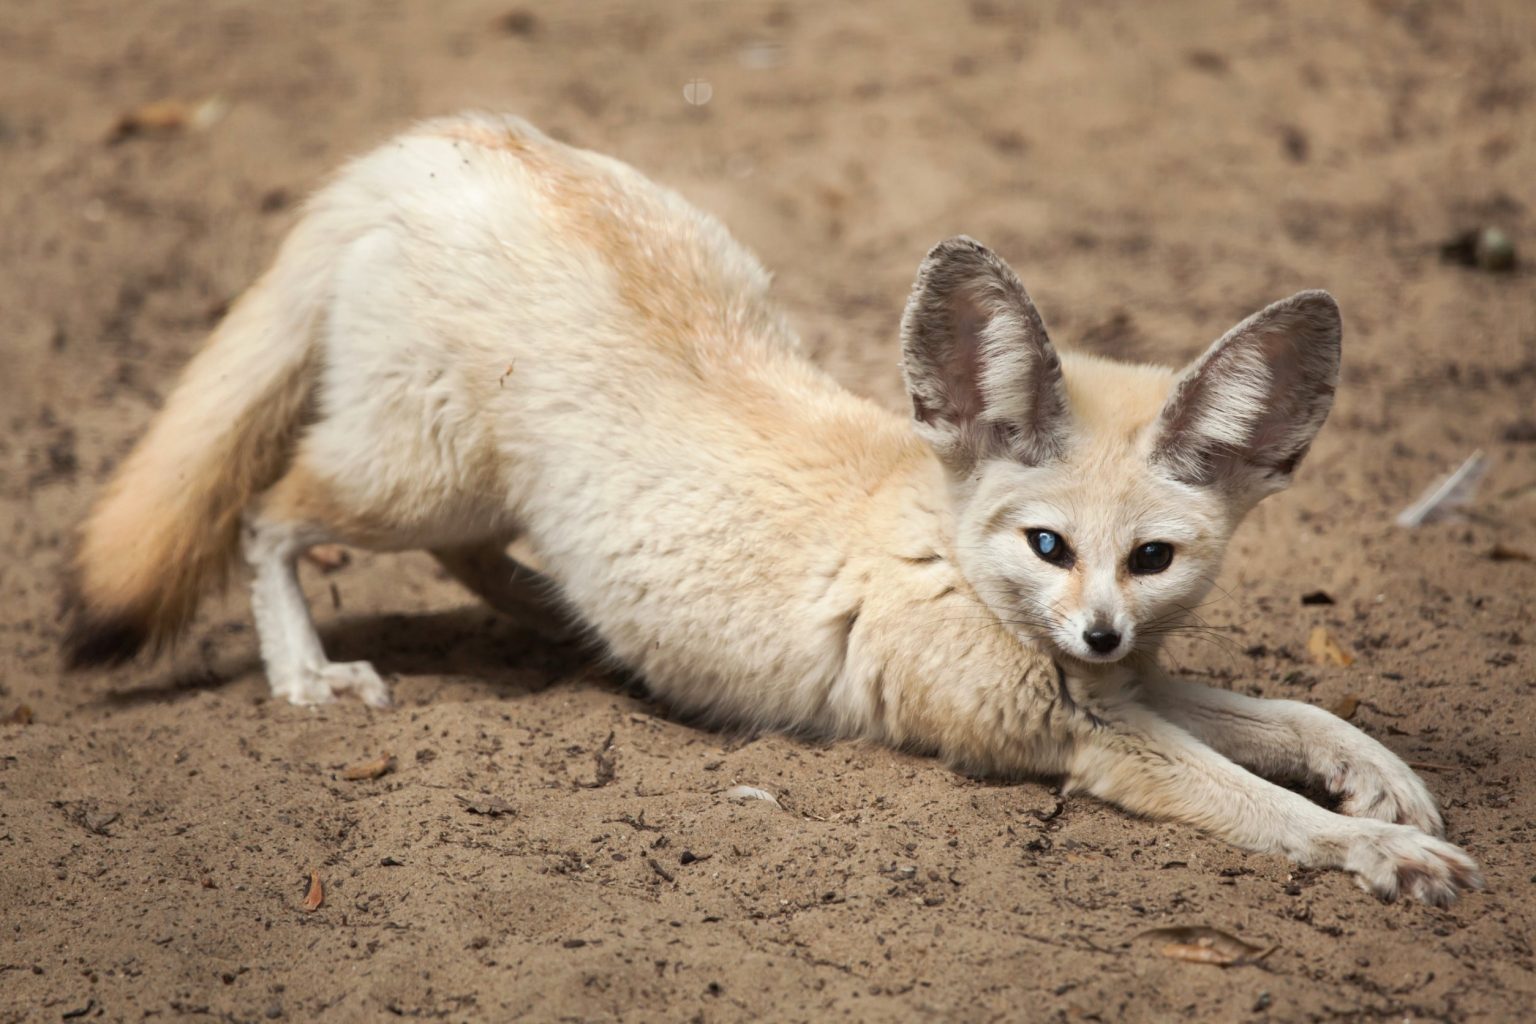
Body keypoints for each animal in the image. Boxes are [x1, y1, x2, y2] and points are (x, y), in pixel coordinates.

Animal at [64, 112, 1480, 904]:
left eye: (1152, 557)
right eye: (1047, 545)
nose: (1096, 632)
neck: (938, 542)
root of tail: (443, 143)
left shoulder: (1124, 687)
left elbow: (1285, 714)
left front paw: (1378, 776)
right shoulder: (1070, 731)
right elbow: (1256, 801)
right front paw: (1372, 851)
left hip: (473, 474)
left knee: (476, 558)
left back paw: (580, 620)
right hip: (413, 475)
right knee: (269, 513)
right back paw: (307, 673)